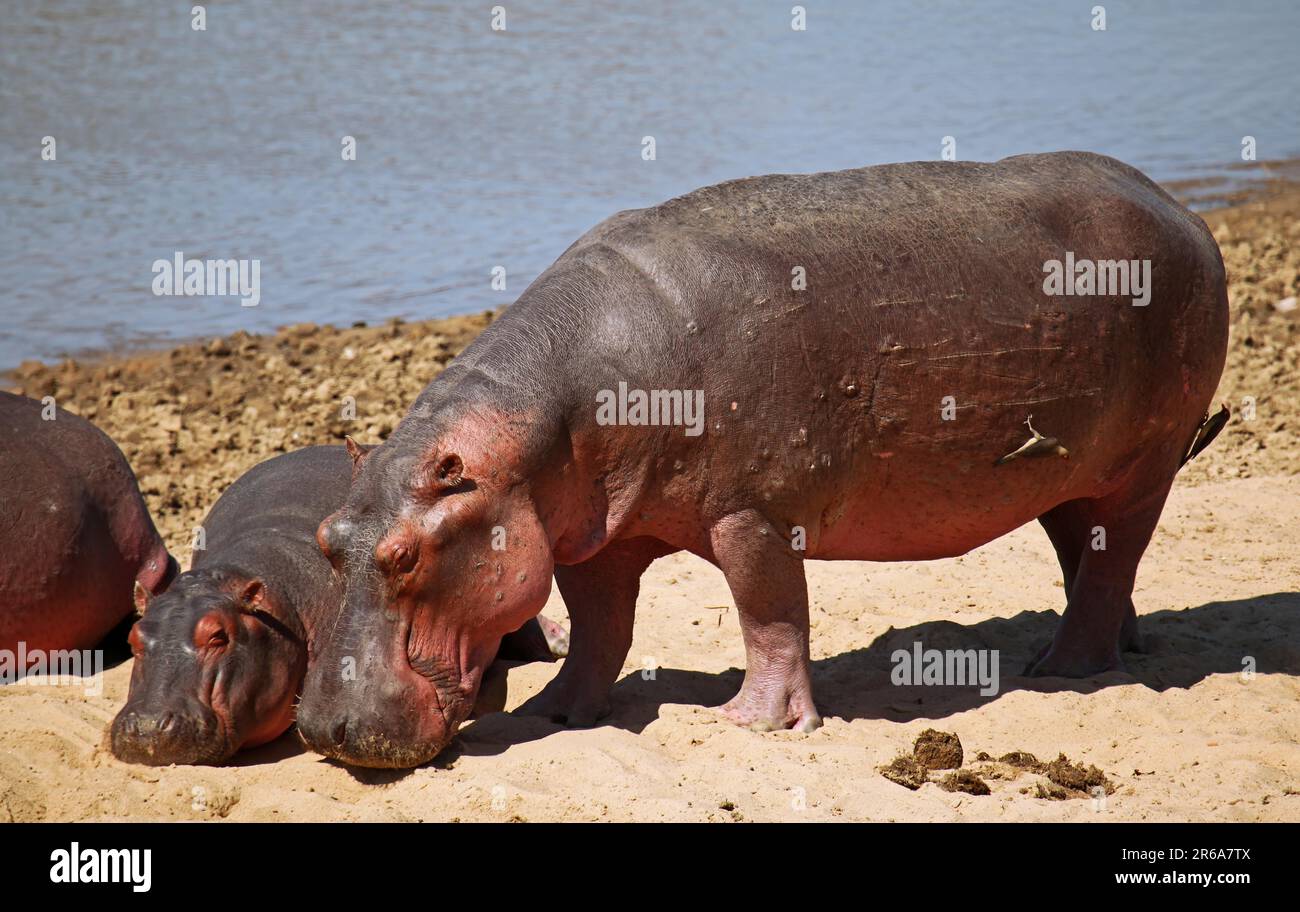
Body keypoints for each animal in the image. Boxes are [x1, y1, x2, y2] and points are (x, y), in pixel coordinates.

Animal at [297, 151, 1229, 768]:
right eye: (327, 540)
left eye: (404, 556)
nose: (321, 731)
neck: (543, 422)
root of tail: (1183, 212)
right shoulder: (593, 535)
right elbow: (600, 627)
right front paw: (557, 714)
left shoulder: (753, 514)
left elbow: (770, 615)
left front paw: (755, 722)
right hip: (1073, 469)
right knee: (1087, 550)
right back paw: (1113, 646)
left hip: (1147, 463)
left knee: (1115, 554)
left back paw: (1068, 669)